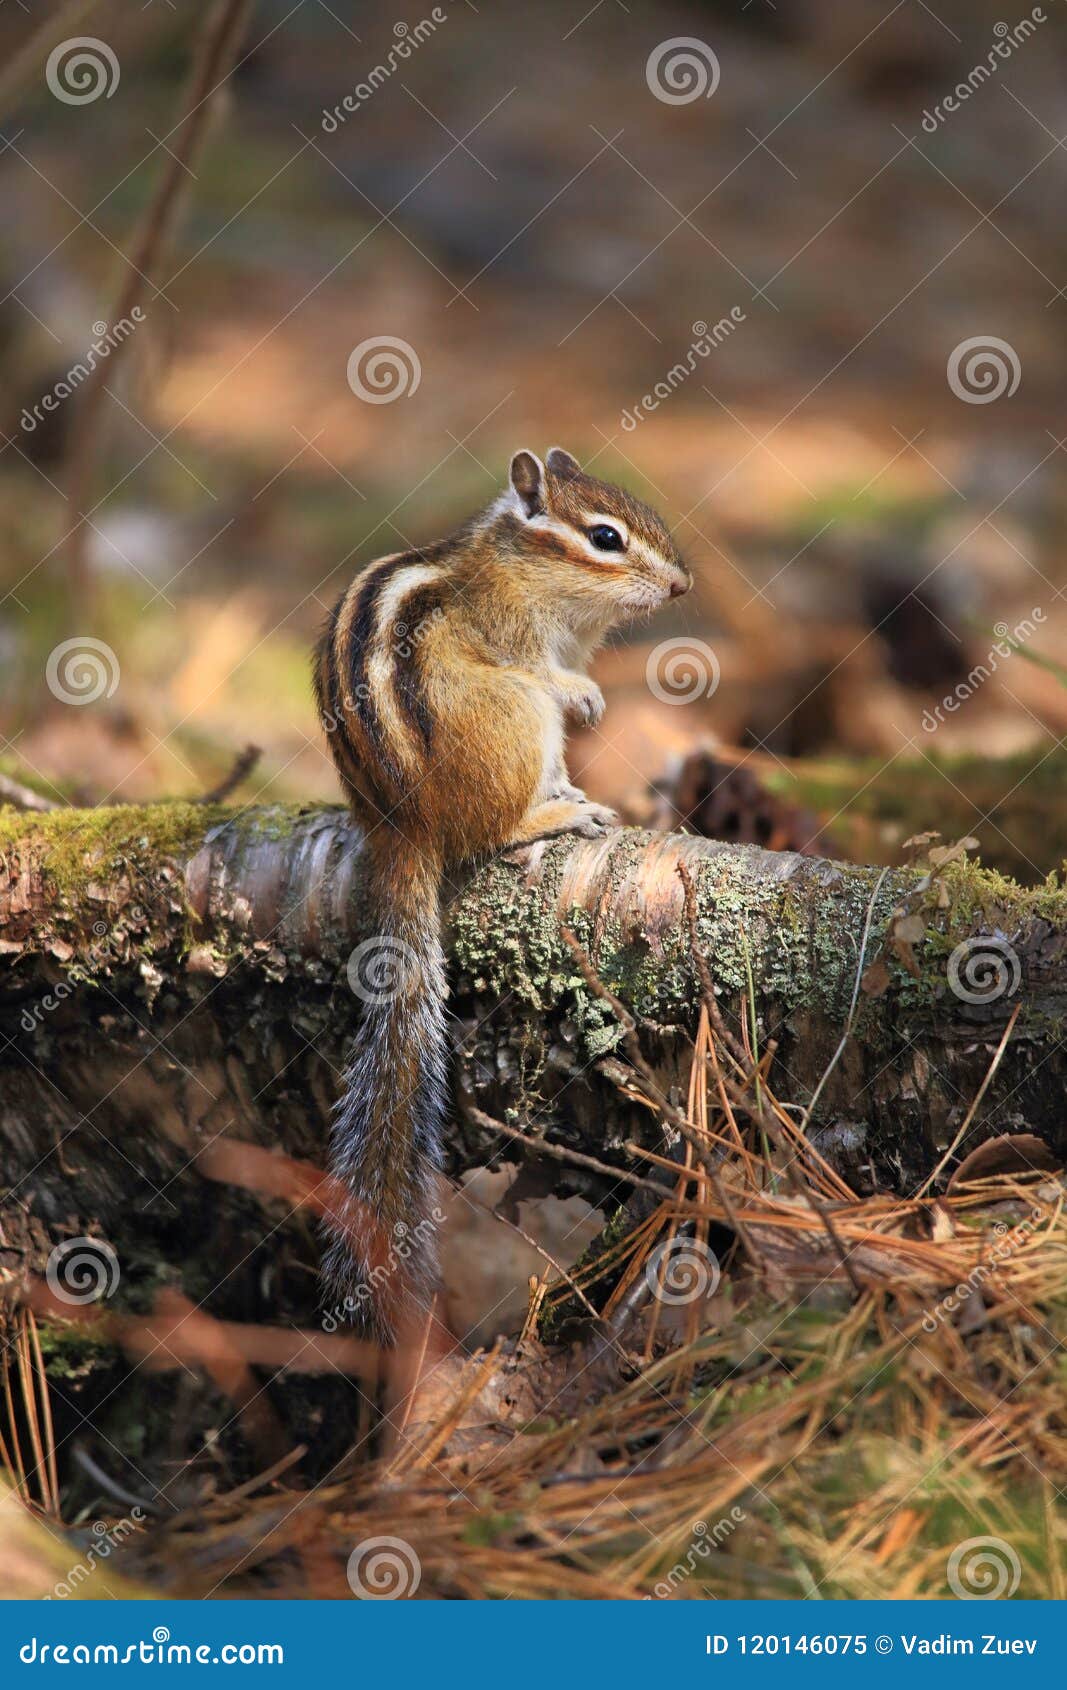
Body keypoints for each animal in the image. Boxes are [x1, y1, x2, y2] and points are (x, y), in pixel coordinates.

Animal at [313, 446, 690, 1342]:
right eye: (604, 537)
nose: (680, 587)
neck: (523, 567)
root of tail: (402, 826)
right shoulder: (517, 639)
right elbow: (548, 672)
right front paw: (584, 694)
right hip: (512, 718)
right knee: (493, 822)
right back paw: (553, 812)